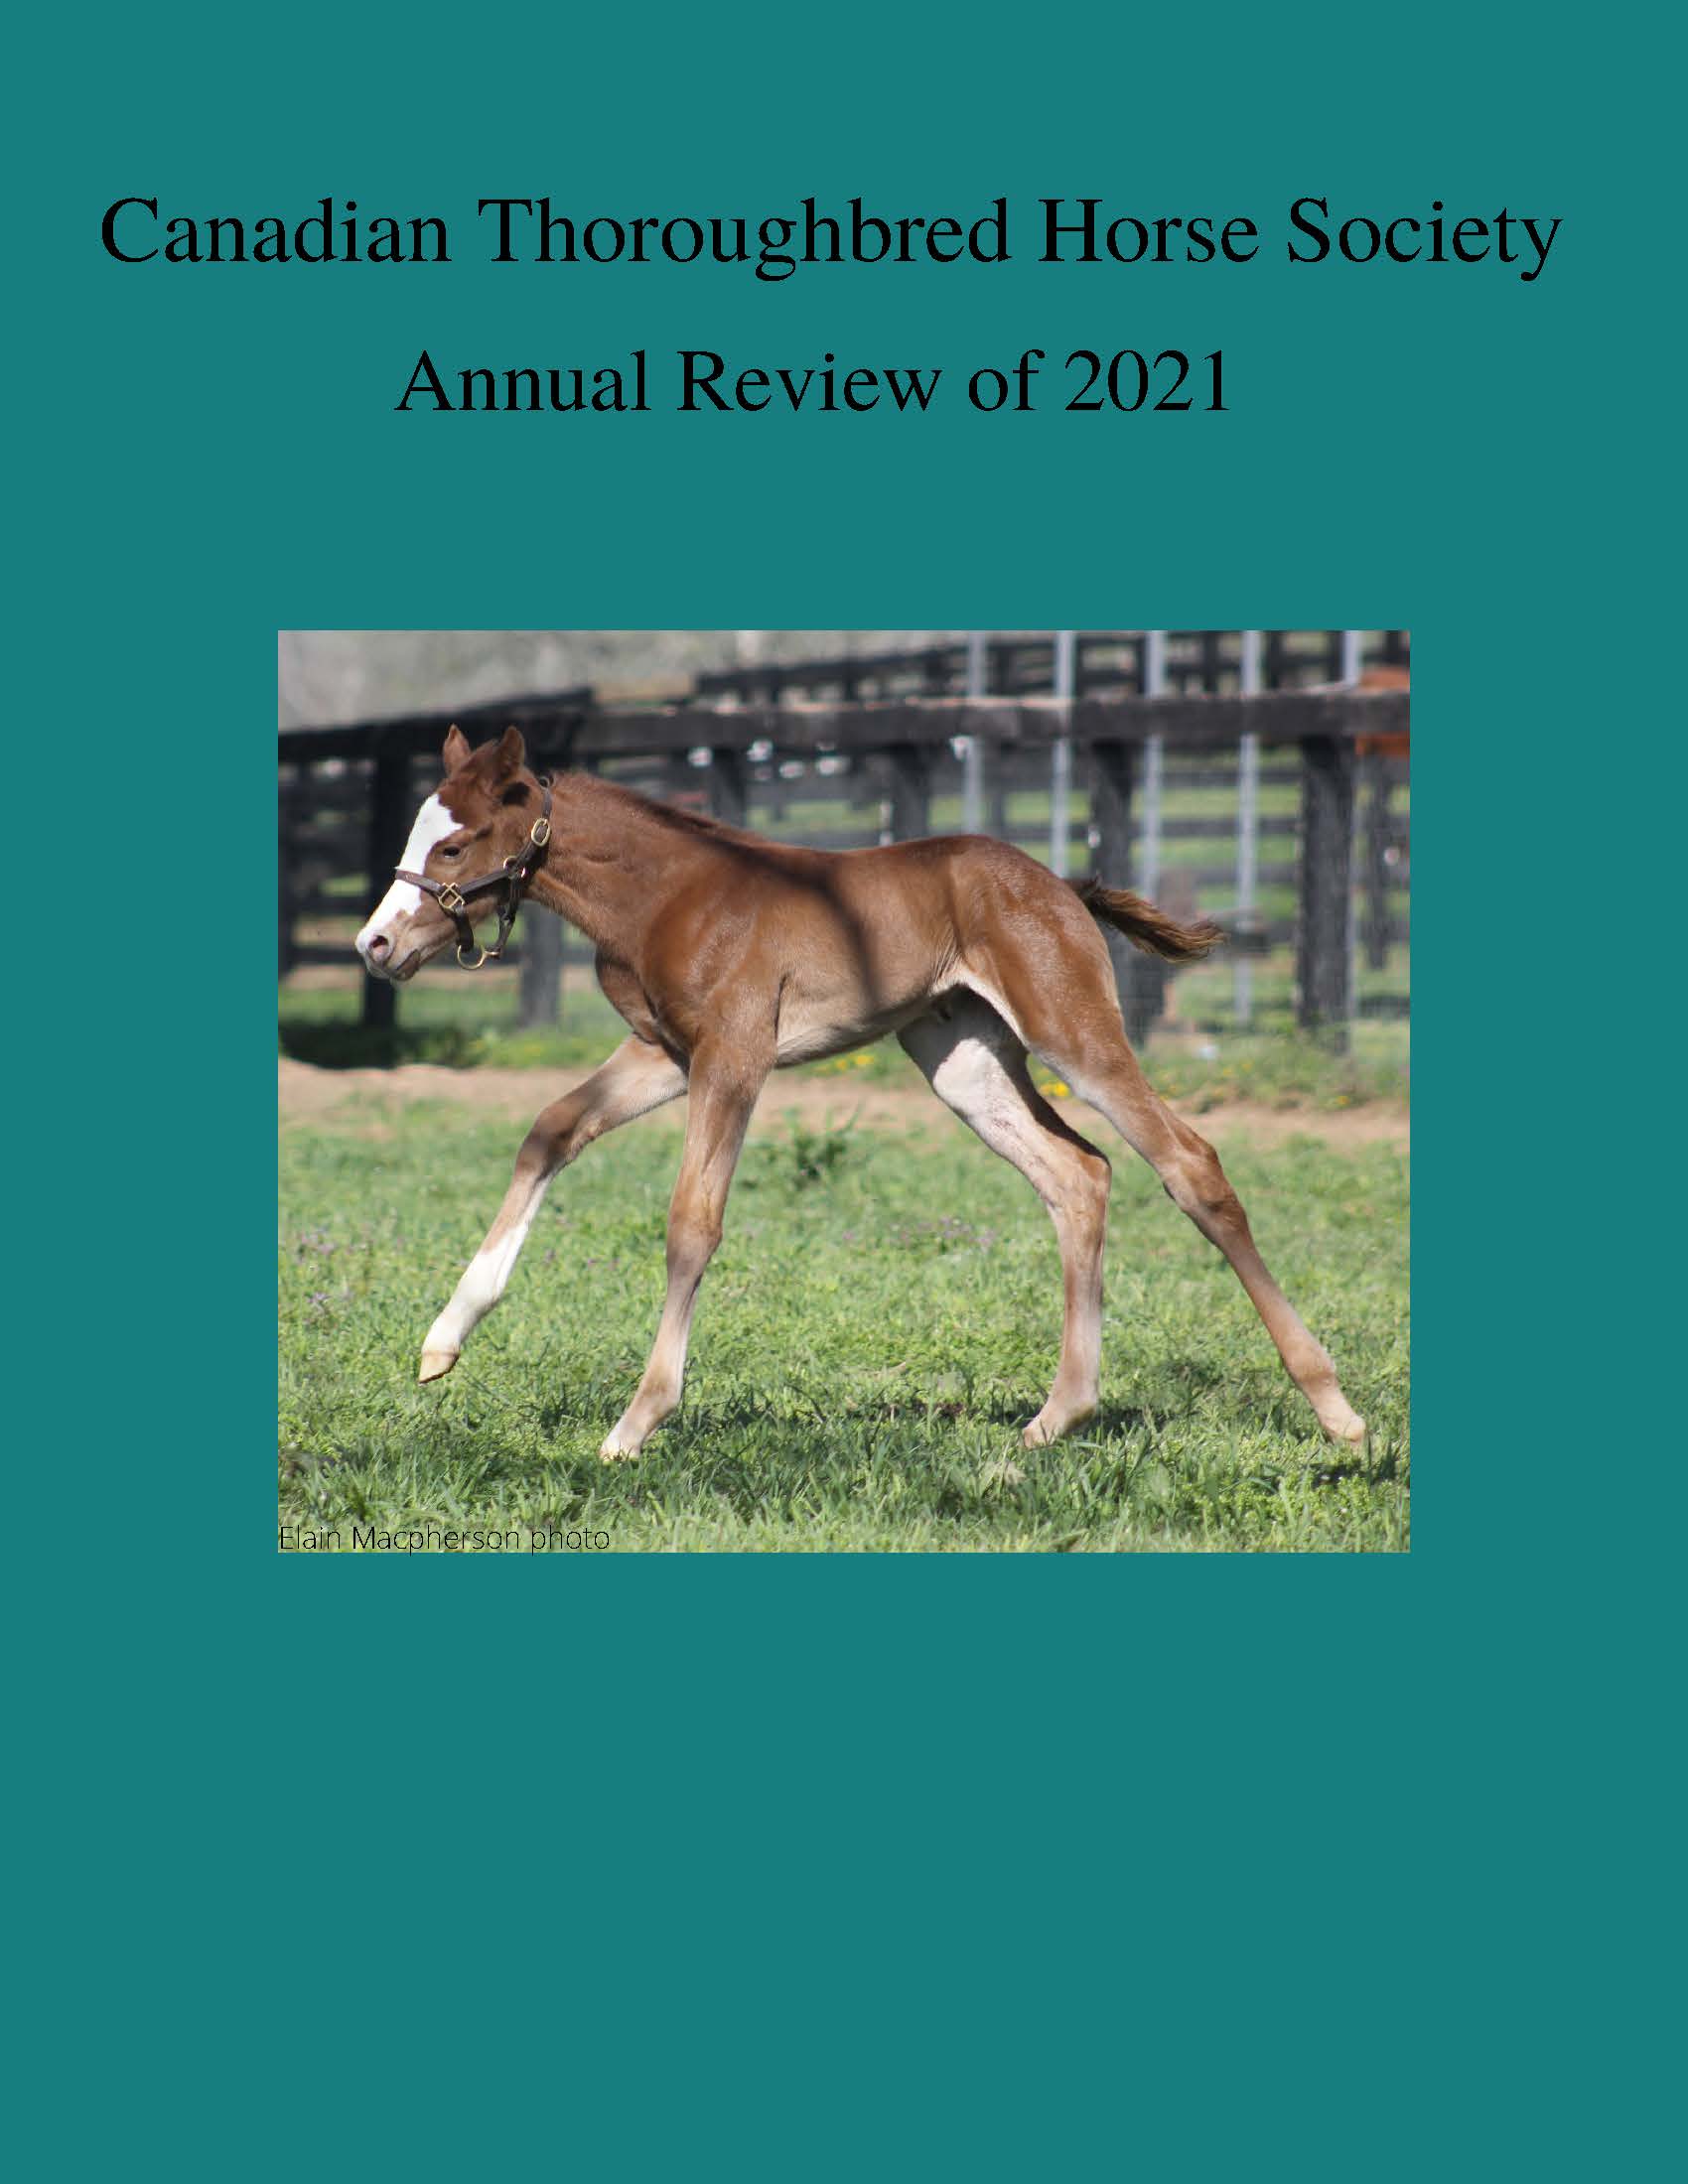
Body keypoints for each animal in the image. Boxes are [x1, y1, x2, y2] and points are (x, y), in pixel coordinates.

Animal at [355, 726, 1366, 1460]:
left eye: (454, 843)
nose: (375, 945)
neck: (666, 896)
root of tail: (1059, 883)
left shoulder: (734, 1055)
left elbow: (692, 1223)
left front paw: (636, 1423)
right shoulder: (663, 1052)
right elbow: (550, 1130)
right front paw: (445, 1339)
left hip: (1070, 1030)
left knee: (1187, 1162)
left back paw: (1335, 1411)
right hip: (962, 1059)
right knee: (1078, 1175)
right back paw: (1057, 1417)